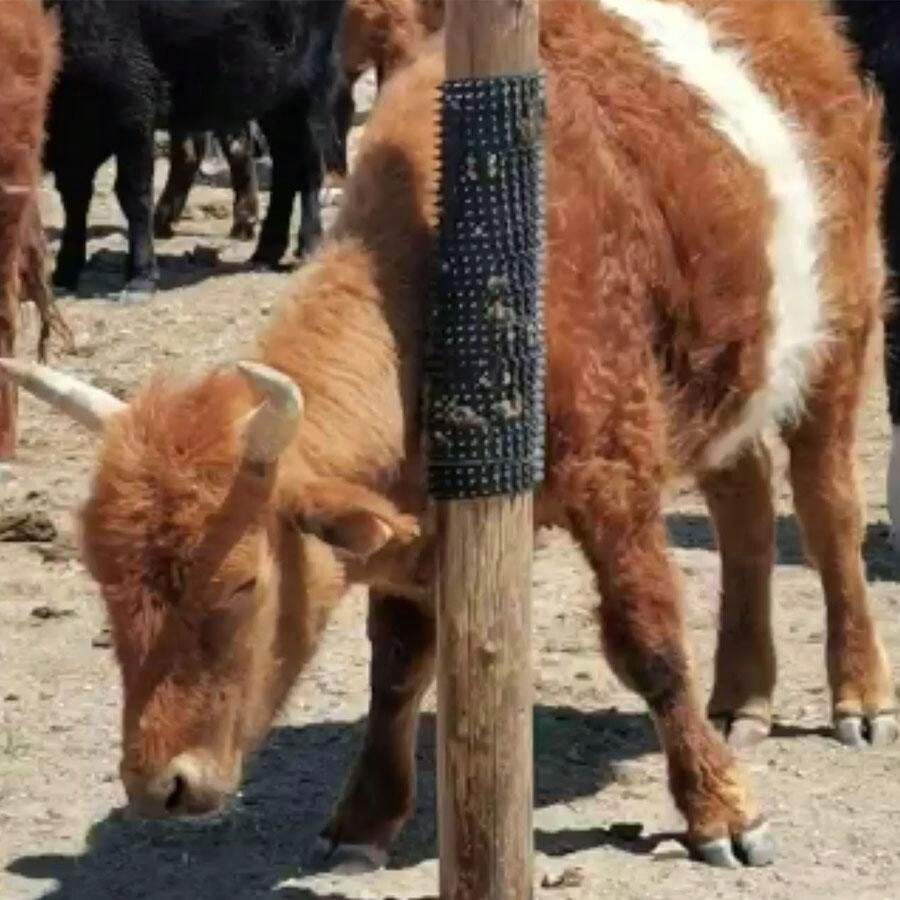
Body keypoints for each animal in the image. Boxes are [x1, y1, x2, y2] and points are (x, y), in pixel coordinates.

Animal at [43, 0, 345, 302]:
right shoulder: (72, 135)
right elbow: (74, 198)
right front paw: (64, 272)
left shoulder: (134, 111)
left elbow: (133, 195)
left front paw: (140, 278)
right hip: (273, 98)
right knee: (286, 165)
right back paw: (266, 252)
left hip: (307, 90)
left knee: (308, 165)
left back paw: (309, 245)